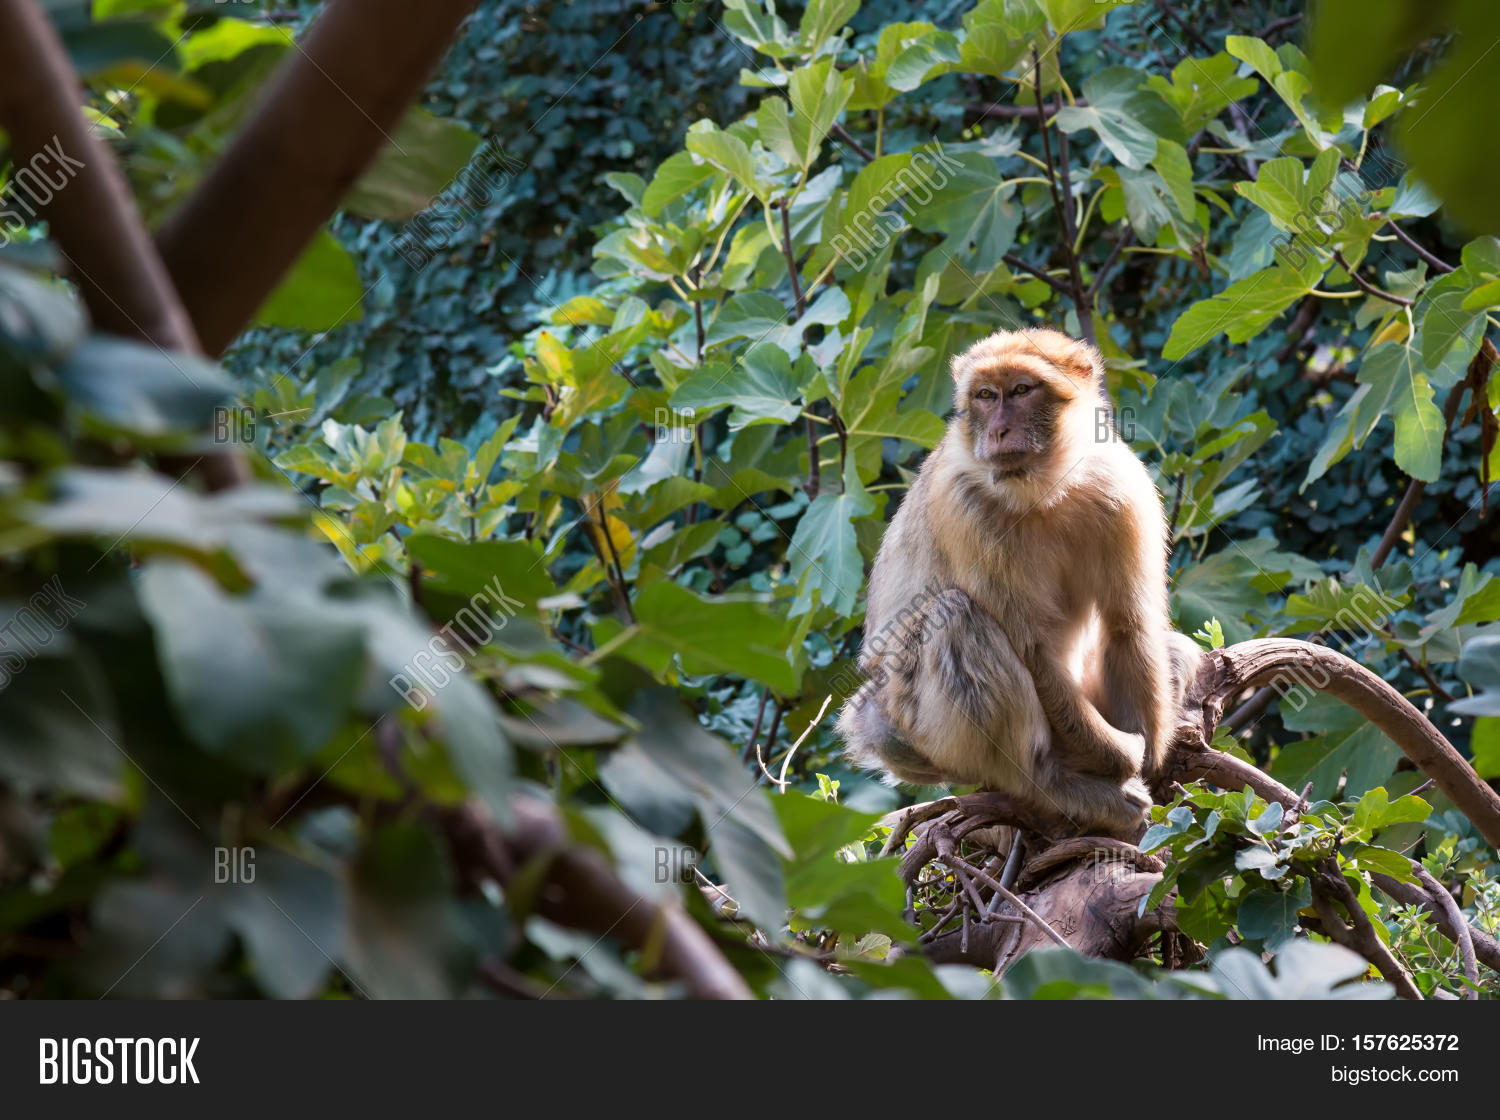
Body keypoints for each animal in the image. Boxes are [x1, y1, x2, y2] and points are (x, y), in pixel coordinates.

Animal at [837, 327, 1199, 838]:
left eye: (1022, 390)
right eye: (986, 396)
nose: (997, 431)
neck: (1045, 491)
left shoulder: (1120, 487)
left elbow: (1127, 625)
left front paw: (1150, 760)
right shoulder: (965, 508)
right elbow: (1033, 650)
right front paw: (1125, 757)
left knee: (1174, 650)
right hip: (923, 729)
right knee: (956, 617)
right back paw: (1056, 785)